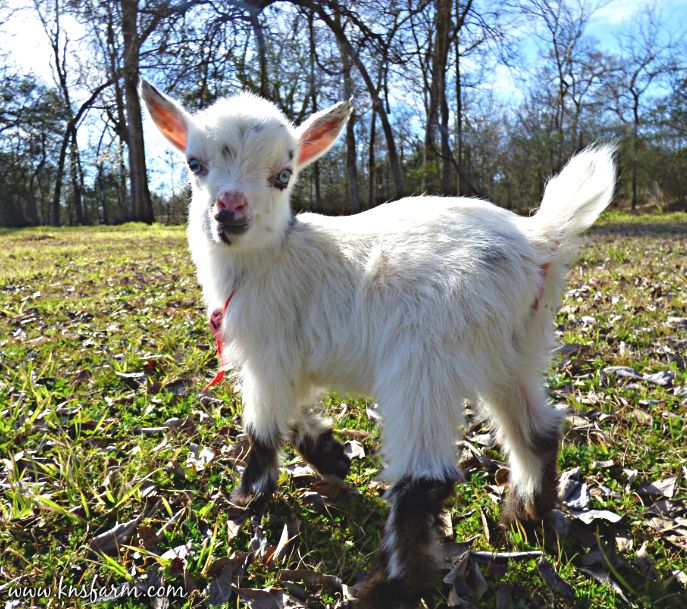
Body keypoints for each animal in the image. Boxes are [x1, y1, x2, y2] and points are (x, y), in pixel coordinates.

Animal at [140, 80, 615, 609]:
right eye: (194, 164)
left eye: (283, 175)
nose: (229, 210)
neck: (271, 257)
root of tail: (538, 242)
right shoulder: (293, 359)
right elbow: (296, 412)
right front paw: (331, 455)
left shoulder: (269, 355)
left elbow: (263, 427)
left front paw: (249, 496)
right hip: (515, 350)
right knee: (539, 430)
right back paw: (525, 515)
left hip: (423, 359)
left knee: (426, 478)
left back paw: (387, 586)